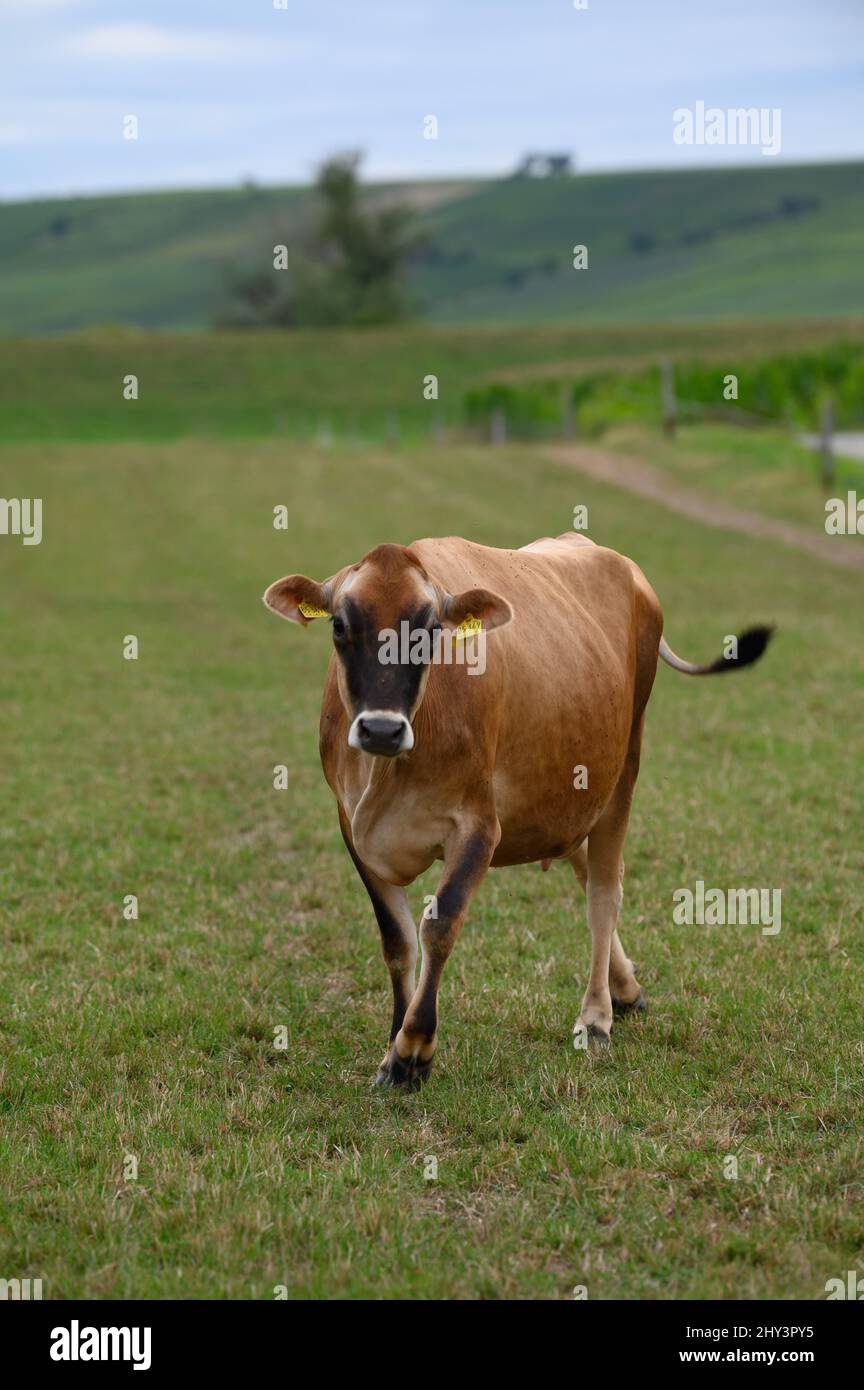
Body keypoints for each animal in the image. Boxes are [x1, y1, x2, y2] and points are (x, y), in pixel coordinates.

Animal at [263, 533, 772, 1090]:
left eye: (430, 630)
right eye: (338, 624)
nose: (381, 728)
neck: (389, 770)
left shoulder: (479, 826)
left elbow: (439, 925)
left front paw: (412, 1052)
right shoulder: (351, 825)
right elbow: (396, 938)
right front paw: (395, 1036)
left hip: (624, 763)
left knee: (603, 890)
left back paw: (597, 1015)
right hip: (570, 795)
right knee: (583, 864)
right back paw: (626, 989)